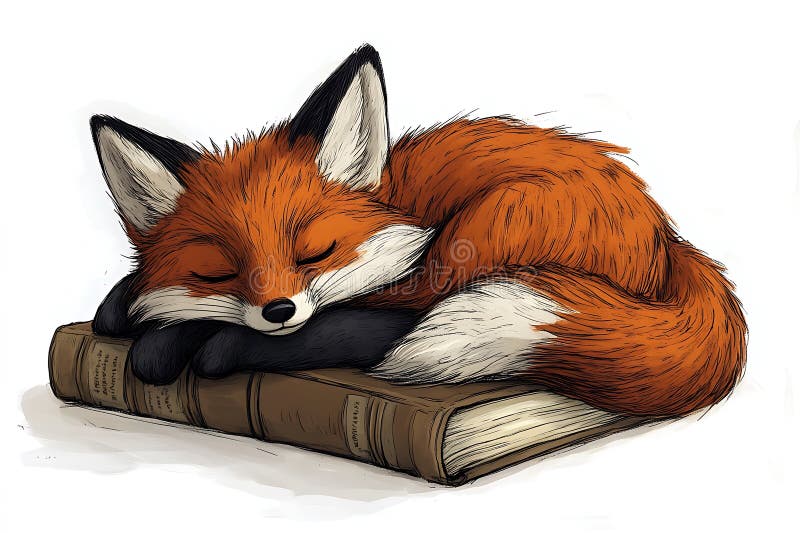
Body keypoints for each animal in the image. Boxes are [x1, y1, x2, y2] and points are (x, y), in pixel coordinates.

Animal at [91, 44, 746, 417]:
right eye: (218, 271)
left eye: (315, 252)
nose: (278, 309)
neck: (397, 203)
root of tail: (669, 241)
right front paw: (131, 314)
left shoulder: (402, 286)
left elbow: (325, 331)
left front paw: (180, 343)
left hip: (491, 225)